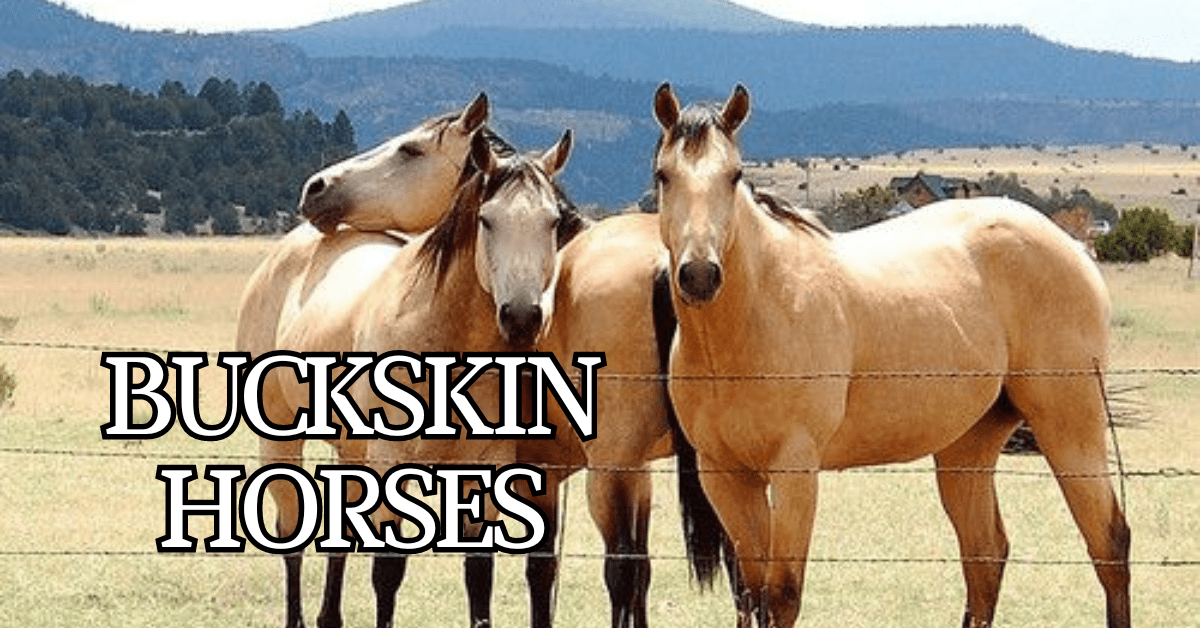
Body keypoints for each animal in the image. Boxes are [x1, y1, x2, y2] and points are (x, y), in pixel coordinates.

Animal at [651, 83, 1130, 628]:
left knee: (1109, 544)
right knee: (985, 557)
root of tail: (1071, 245)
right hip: (968, 449)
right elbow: (751, 595)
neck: (753, 316)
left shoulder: (795, 471)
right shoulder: (725, 475)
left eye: (734, 176)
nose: (699, 275)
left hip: (1071, 431)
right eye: (664, 175)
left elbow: (782, 596)